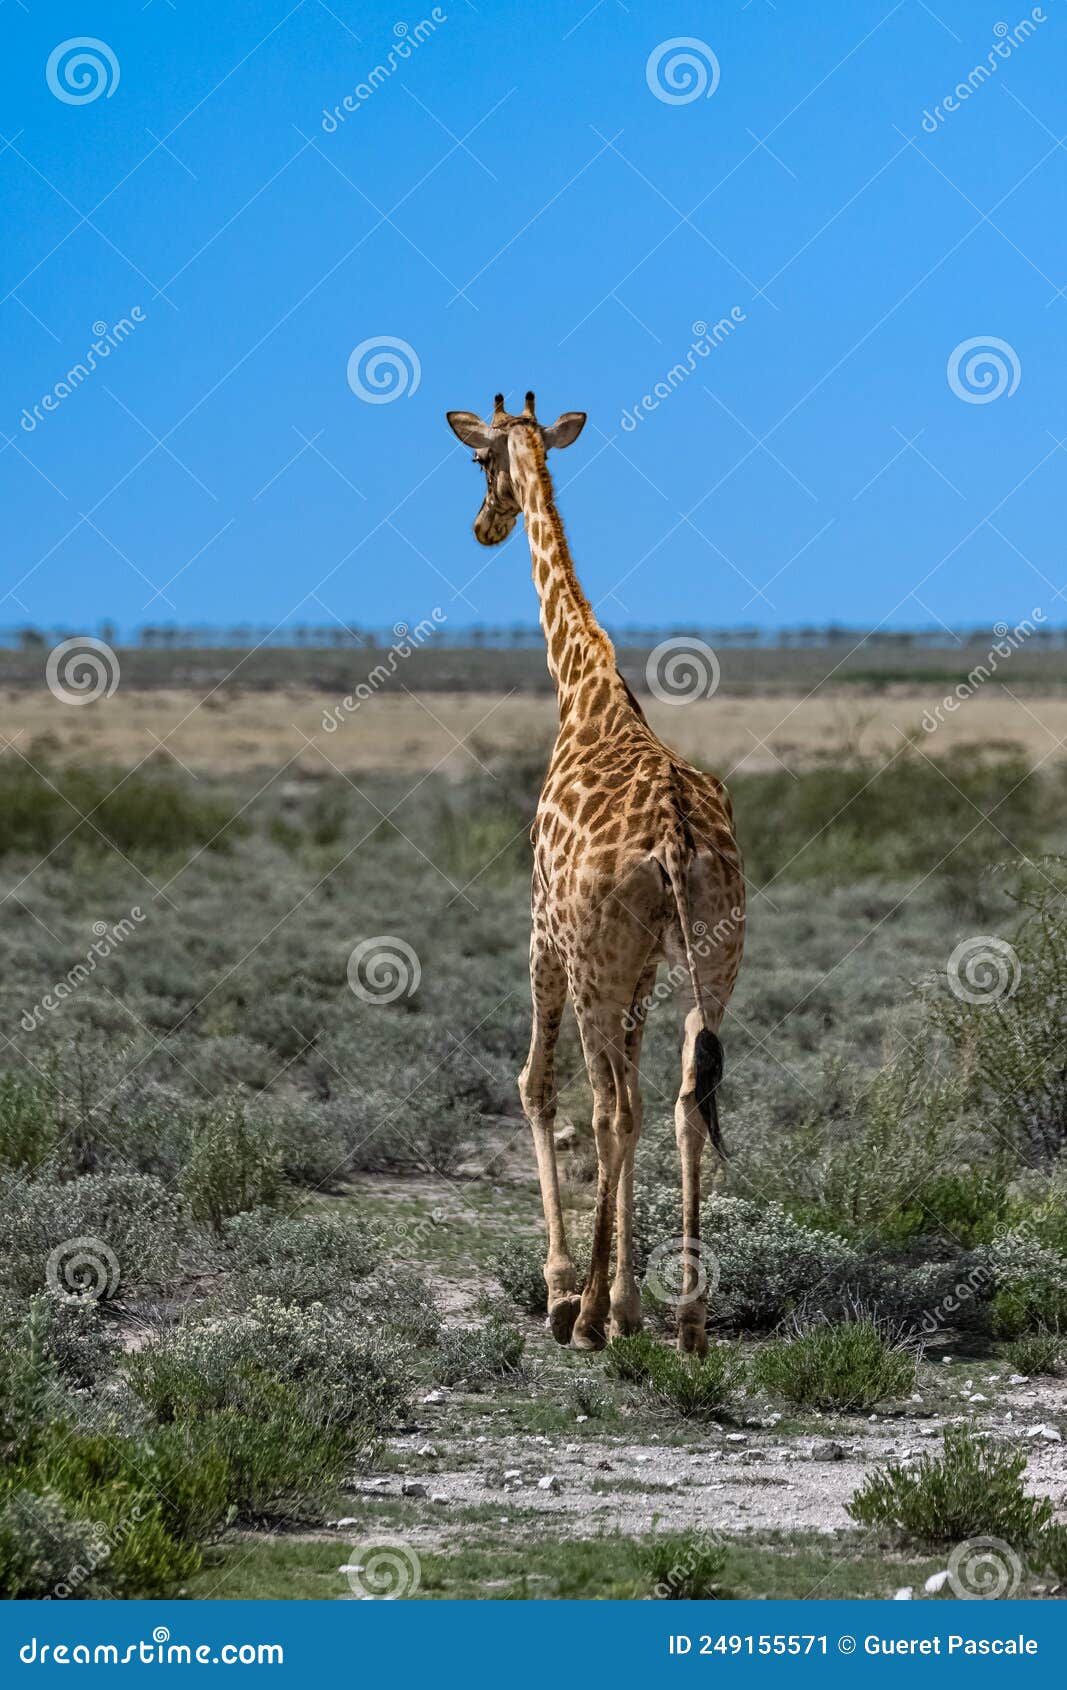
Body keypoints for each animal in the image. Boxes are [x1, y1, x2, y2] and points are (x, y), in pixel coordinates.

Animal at [446, 393, 745, 1355]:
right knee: (684, 1098)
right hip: (712, 962)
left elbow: (538, 1087)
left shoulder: (544, 933)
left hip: (589, 962)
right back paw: (687, 1318)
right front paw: (628, 1299)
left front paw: (568, 1291)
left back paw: (583, 1318)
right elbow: (645, 1103)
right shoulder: (647, 966)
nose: (482, 526)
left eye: (479, 462)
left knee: (605, 1105)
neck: (582, 693)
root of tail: (675, 841)